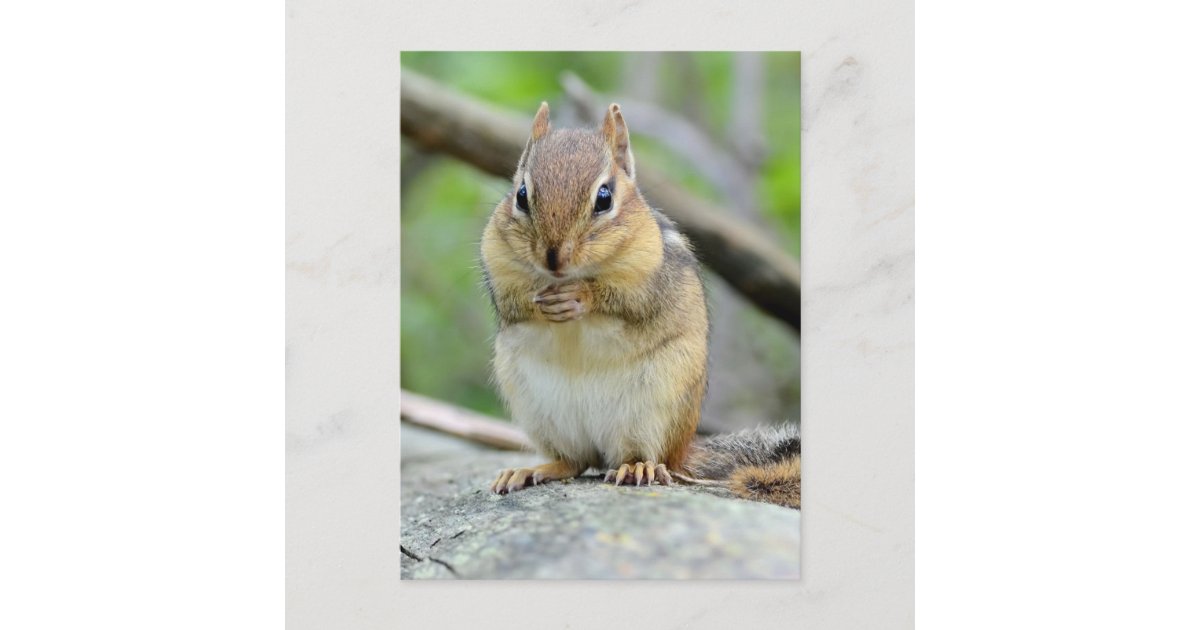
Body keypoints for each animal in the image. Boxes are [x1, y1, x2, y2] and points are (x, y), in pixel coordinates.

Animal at [479, 101, 800, 509]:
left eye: (604, 198)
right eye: (521, 194)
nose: (554, 258)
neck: (567, 275)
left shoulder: (649, 278)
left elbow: (626, 303)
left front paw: (580, 298)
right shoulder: (497, 265)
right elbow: (513, 302)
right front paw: (543, 303)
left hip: (653, 410)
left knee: (641, 457)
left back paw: (636, 468)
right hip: (538, 411)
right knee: (573, 461)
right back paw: (530, 470)